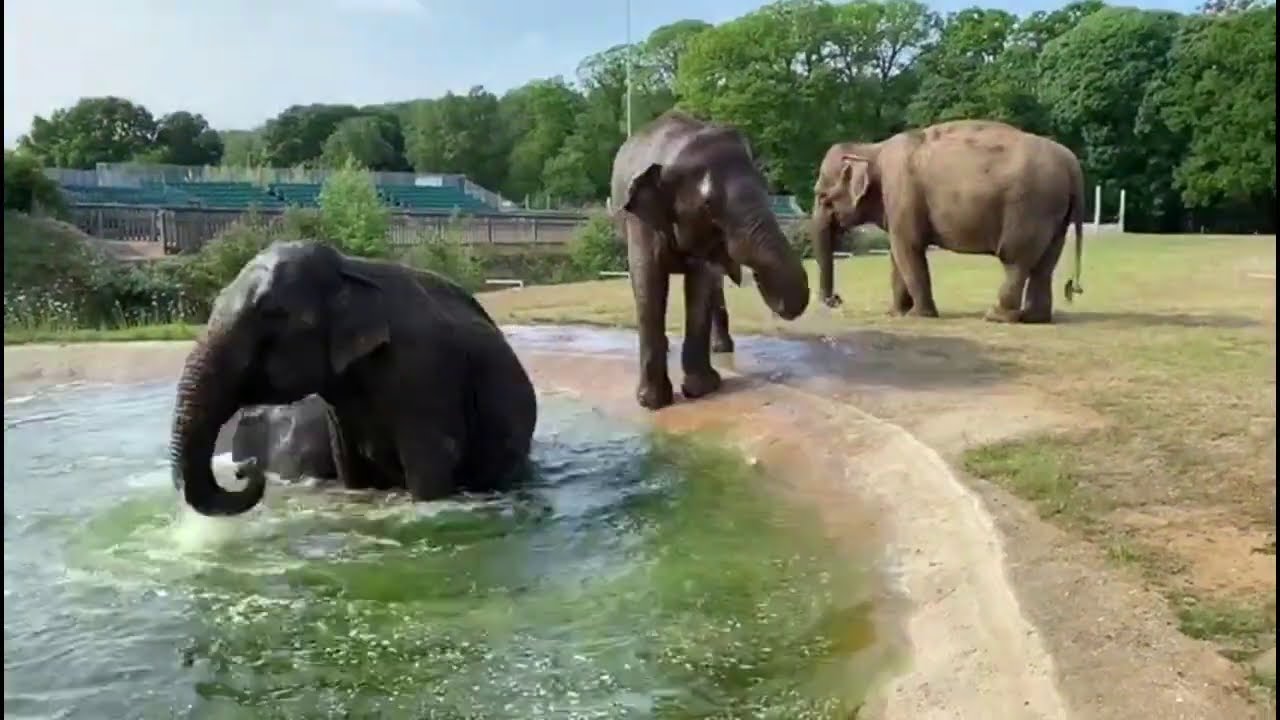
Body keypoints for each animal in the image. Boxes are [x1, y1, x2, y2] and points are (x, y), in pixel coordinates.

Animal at [170, 240, 539, 516]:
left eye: (271, 313)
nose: (245, 468)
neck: (350, 270)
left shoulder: (423, 372)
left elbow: (432, 467)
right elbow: (351, 469)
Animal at [611, 110, 811, 410]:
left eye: (766, 189)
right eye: (708, 204)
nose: (779, 307)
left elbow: (700, 281)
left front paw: (702, 389)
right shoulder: (640, 221)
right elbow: (649, 281)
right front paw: (653, 402)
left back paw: (721, 348)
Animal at [810, 119, 1086, 324]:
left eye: (822, 196)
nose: (835, 300)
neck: (871, 150)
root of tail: (1072, 164)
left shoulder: (901, 195)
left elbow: (907, 249)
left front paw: (918, 315)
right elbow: (898, 254)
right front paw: (895, 313)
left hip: (1030, 208)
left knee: (1015, 259)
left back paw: (996, 316)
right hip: (1055, 215)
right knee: (1044, 264)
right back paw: (1033, 318)